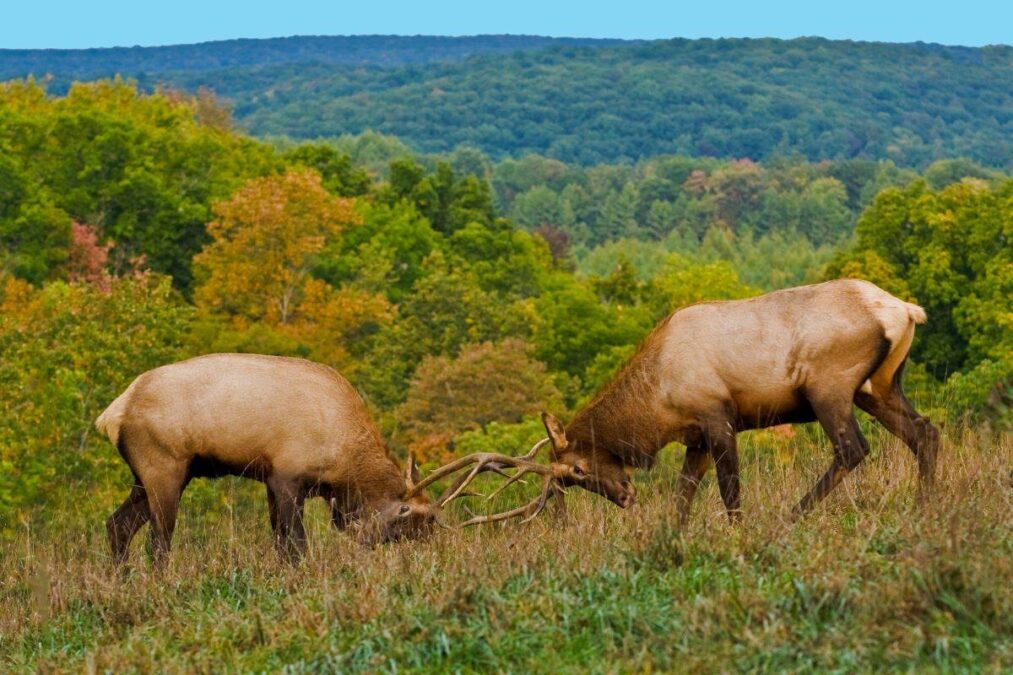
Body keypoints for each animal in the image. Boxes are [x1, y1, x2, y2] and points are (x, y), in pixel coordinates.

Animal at [431, 279, 940, 529]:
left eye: (575, 469)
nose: (624, 497)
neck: (657, 403)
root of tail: (904, 310)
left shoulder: (718, 417)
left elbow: (729, 490)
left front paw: (738, 533)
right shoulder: (694, 439)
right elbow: (682, 495)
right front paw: (670, 536)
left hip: (829, 387)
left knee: (853, 449)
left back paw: (792, 515)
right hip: (878, 387)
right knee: (924, 431)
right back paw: (924, 506)